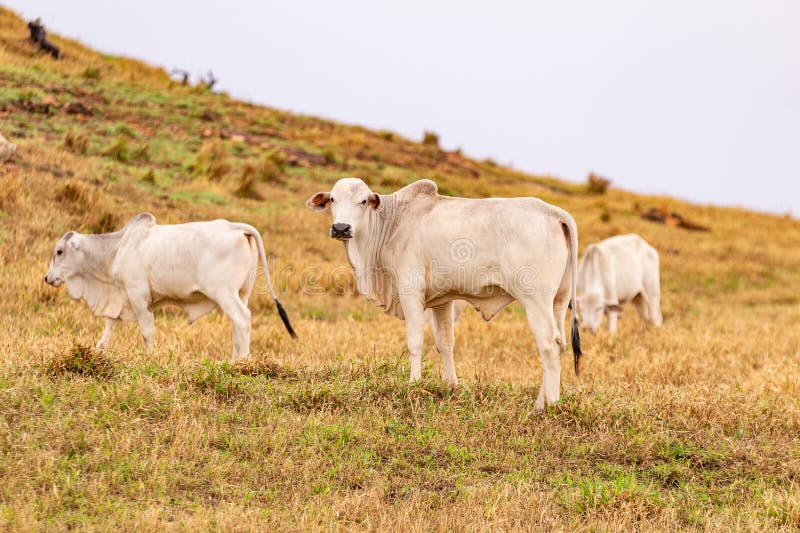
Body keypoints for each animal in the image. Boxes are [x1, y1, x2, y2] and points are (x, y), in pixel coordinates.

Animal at [44, 213, 296, 357]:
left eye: (59, 252)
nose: (47, 278)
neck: (117, 249)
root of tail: (237, 228)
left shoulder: (138, 295)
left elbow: (147, 332)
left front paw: (149, 358)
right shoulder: (122, 298)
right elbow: (110, 325)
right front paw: (98, 350)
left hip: (224, 293)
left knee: (242, 319)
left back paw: (239, 362)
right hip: (242, 292)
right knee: (239, 325)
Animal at [307, 177, 581, 410]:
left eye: (363, 201)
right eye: (333, 199)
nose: (341, 228)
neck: (393, 222)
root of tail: (554, 213)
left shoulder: (410, 292)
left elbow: (415, 342)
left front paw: (414, 384)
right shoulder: (443, 301)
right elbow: (445, 343)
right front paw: (451, 386)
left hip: (535, 301)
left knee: (549, 345)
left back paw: (546, 405)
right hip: (558, 301)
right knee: (560, 344)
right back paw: (543, 399)